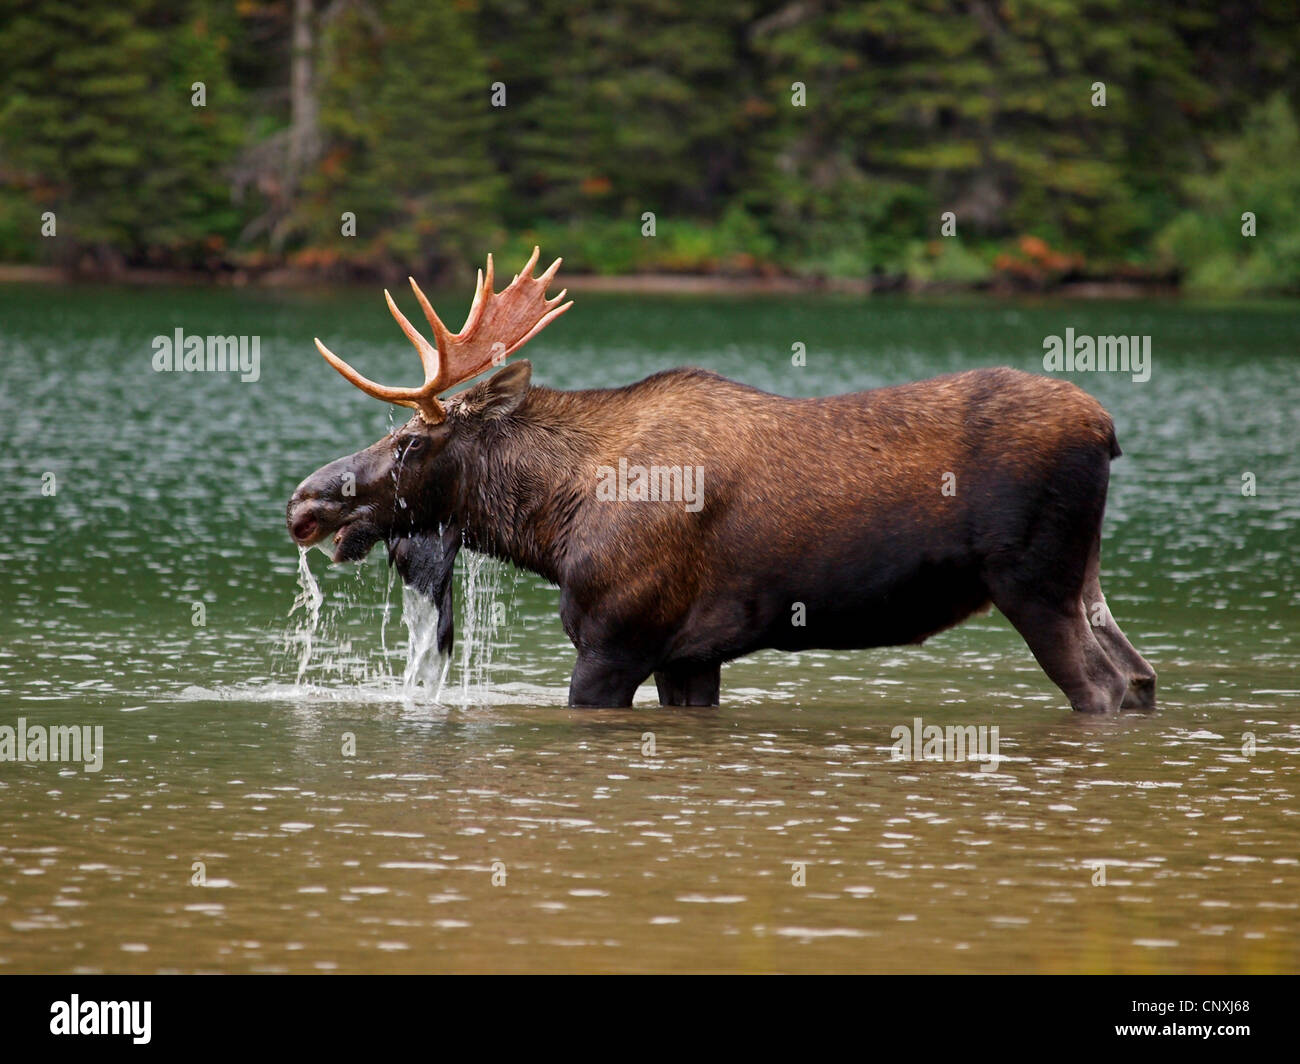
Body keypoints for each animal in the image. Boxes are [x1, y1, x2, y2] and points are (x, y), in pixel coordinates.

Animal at [286, 248, 1157, 712]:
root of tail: (1107, 432)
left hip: (1031, 581)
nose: (305, 500)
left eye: (407, 439)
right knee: (1140, 677)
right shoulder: (689, 655)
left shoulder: (616, 636)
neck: (551, 526)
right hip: (1084, 579)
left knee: (1103, 687)